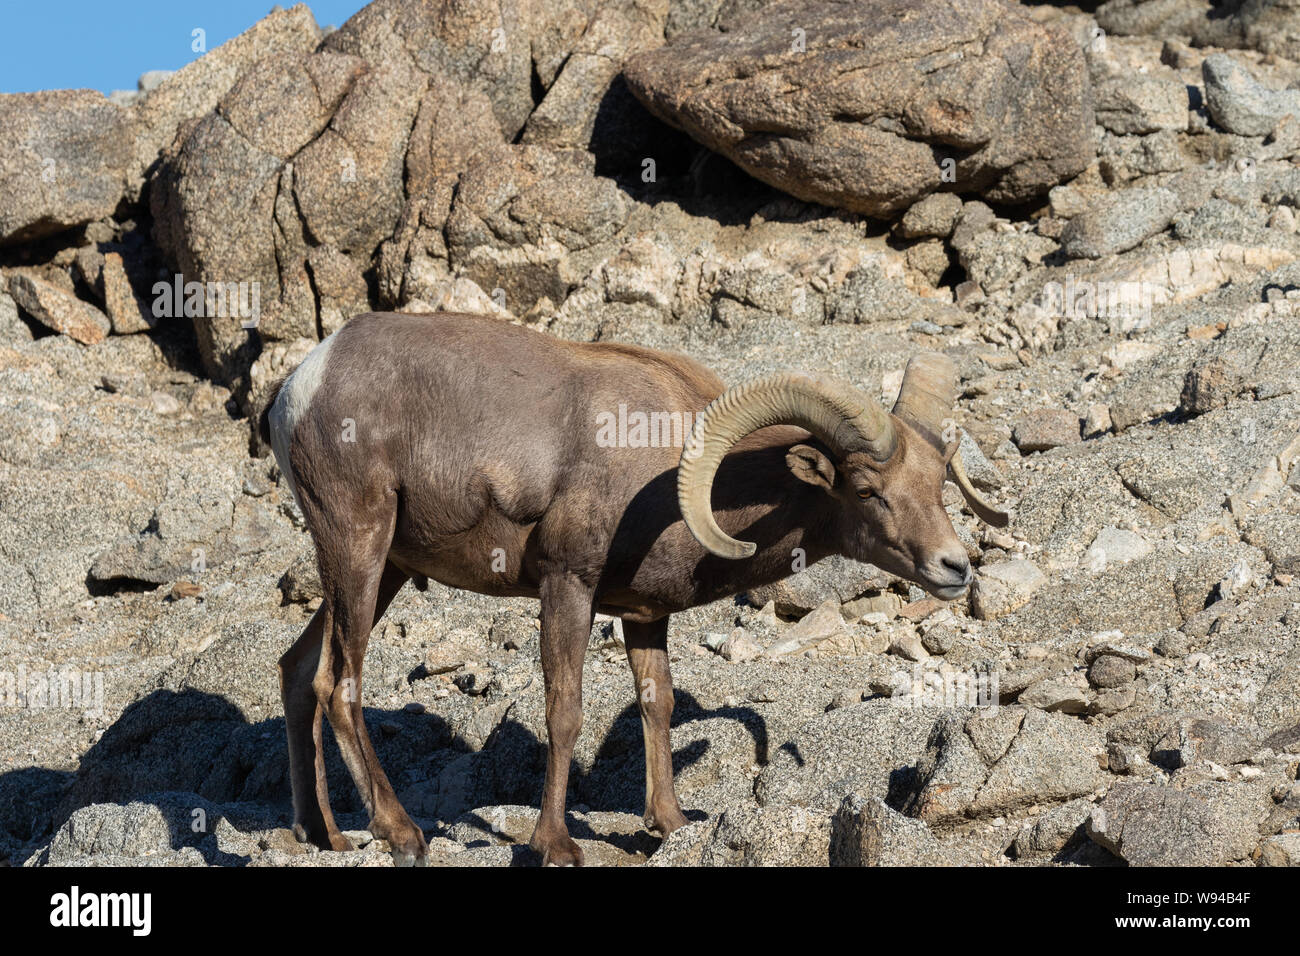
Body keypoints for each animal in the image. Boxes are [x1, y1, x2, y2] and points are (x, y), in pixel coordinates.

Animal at [258, 310, 1008, 866]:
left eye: (938, 480)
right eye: (866, 490)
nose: (954, 568)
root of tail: (302, 385)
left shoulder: (645, 615)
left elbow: (658, 704)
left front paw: (670, 823)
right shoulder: (568, 586)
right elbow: (565, 712)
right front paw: (556, 845)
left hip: (382, 568)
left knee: (297, 670)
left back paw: (322, 834)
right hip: (358, 546)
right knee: (337, 683)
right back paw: (401, 834)